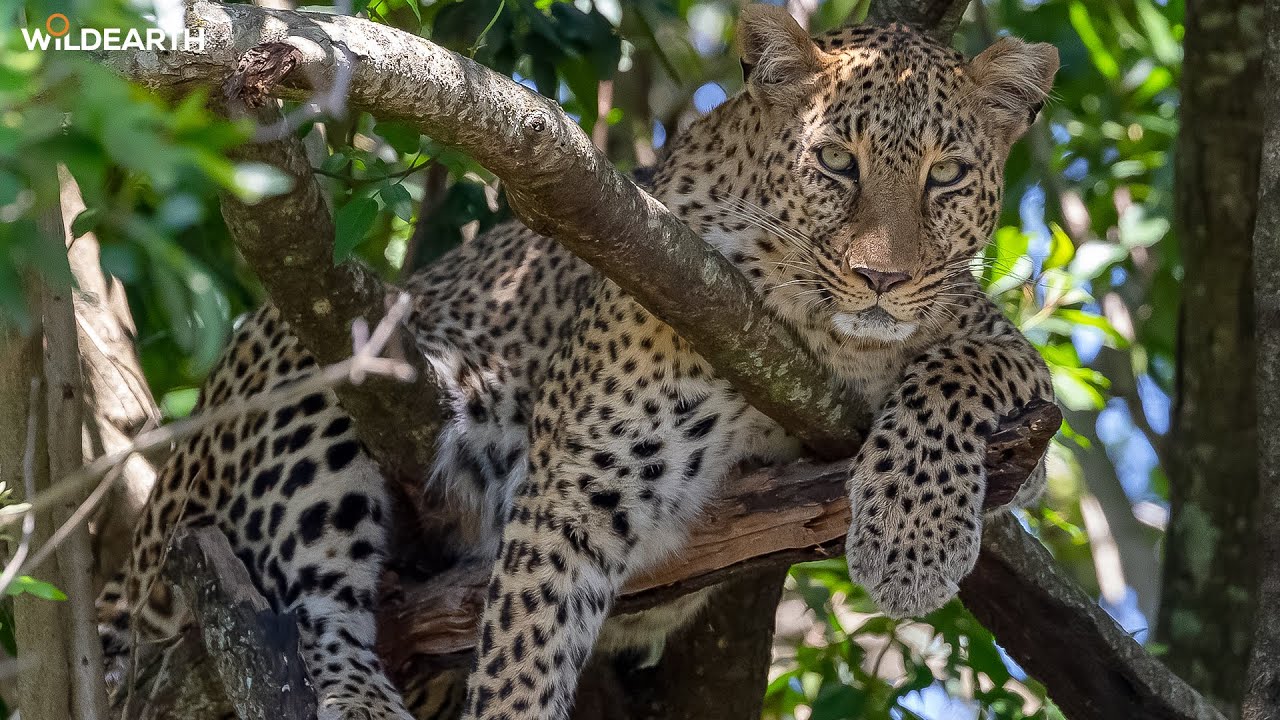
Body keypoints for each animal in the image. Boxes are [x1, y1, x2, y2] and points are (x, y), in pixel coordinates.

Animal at [98, 6, 1059, 720]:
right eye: (834, 162)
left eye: (947, 176)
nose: (881, 278)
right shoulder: (574, 485)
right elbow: (523, 661)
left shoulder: (1005, 356)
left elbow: (954, 376)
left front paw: (910, 538)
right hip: (307, 368)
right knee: (309, 604)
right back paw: (358, 696)